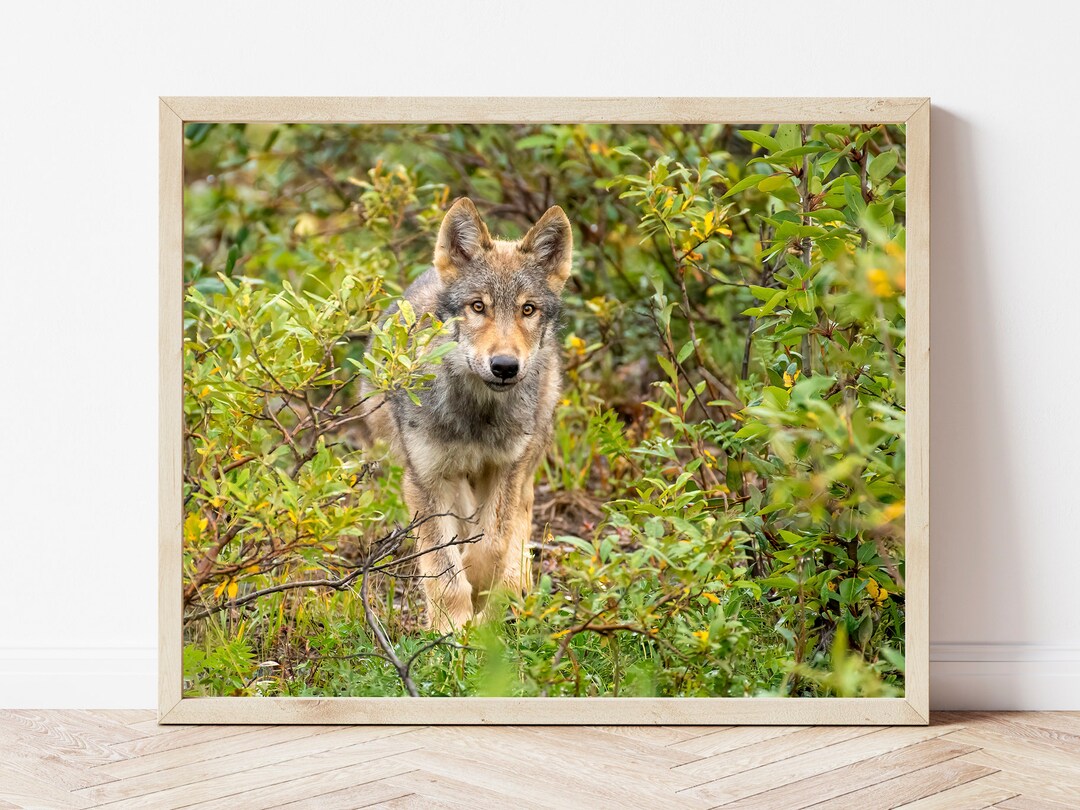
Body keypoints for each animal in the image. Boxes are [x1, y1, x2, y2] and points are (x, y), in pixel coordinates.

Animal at [361, 197, 572, 633]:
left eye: (528, 309)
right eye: (478, 307)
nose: (505, 366)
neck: (478, 415)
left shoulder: (505, 470)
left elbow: (491, 545)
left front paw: (485, 595)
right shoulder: (425, 480)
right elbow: (444, 568)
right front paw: (451, 628)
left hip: (526, 460)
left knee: (519, 519)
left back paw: (516, 585)